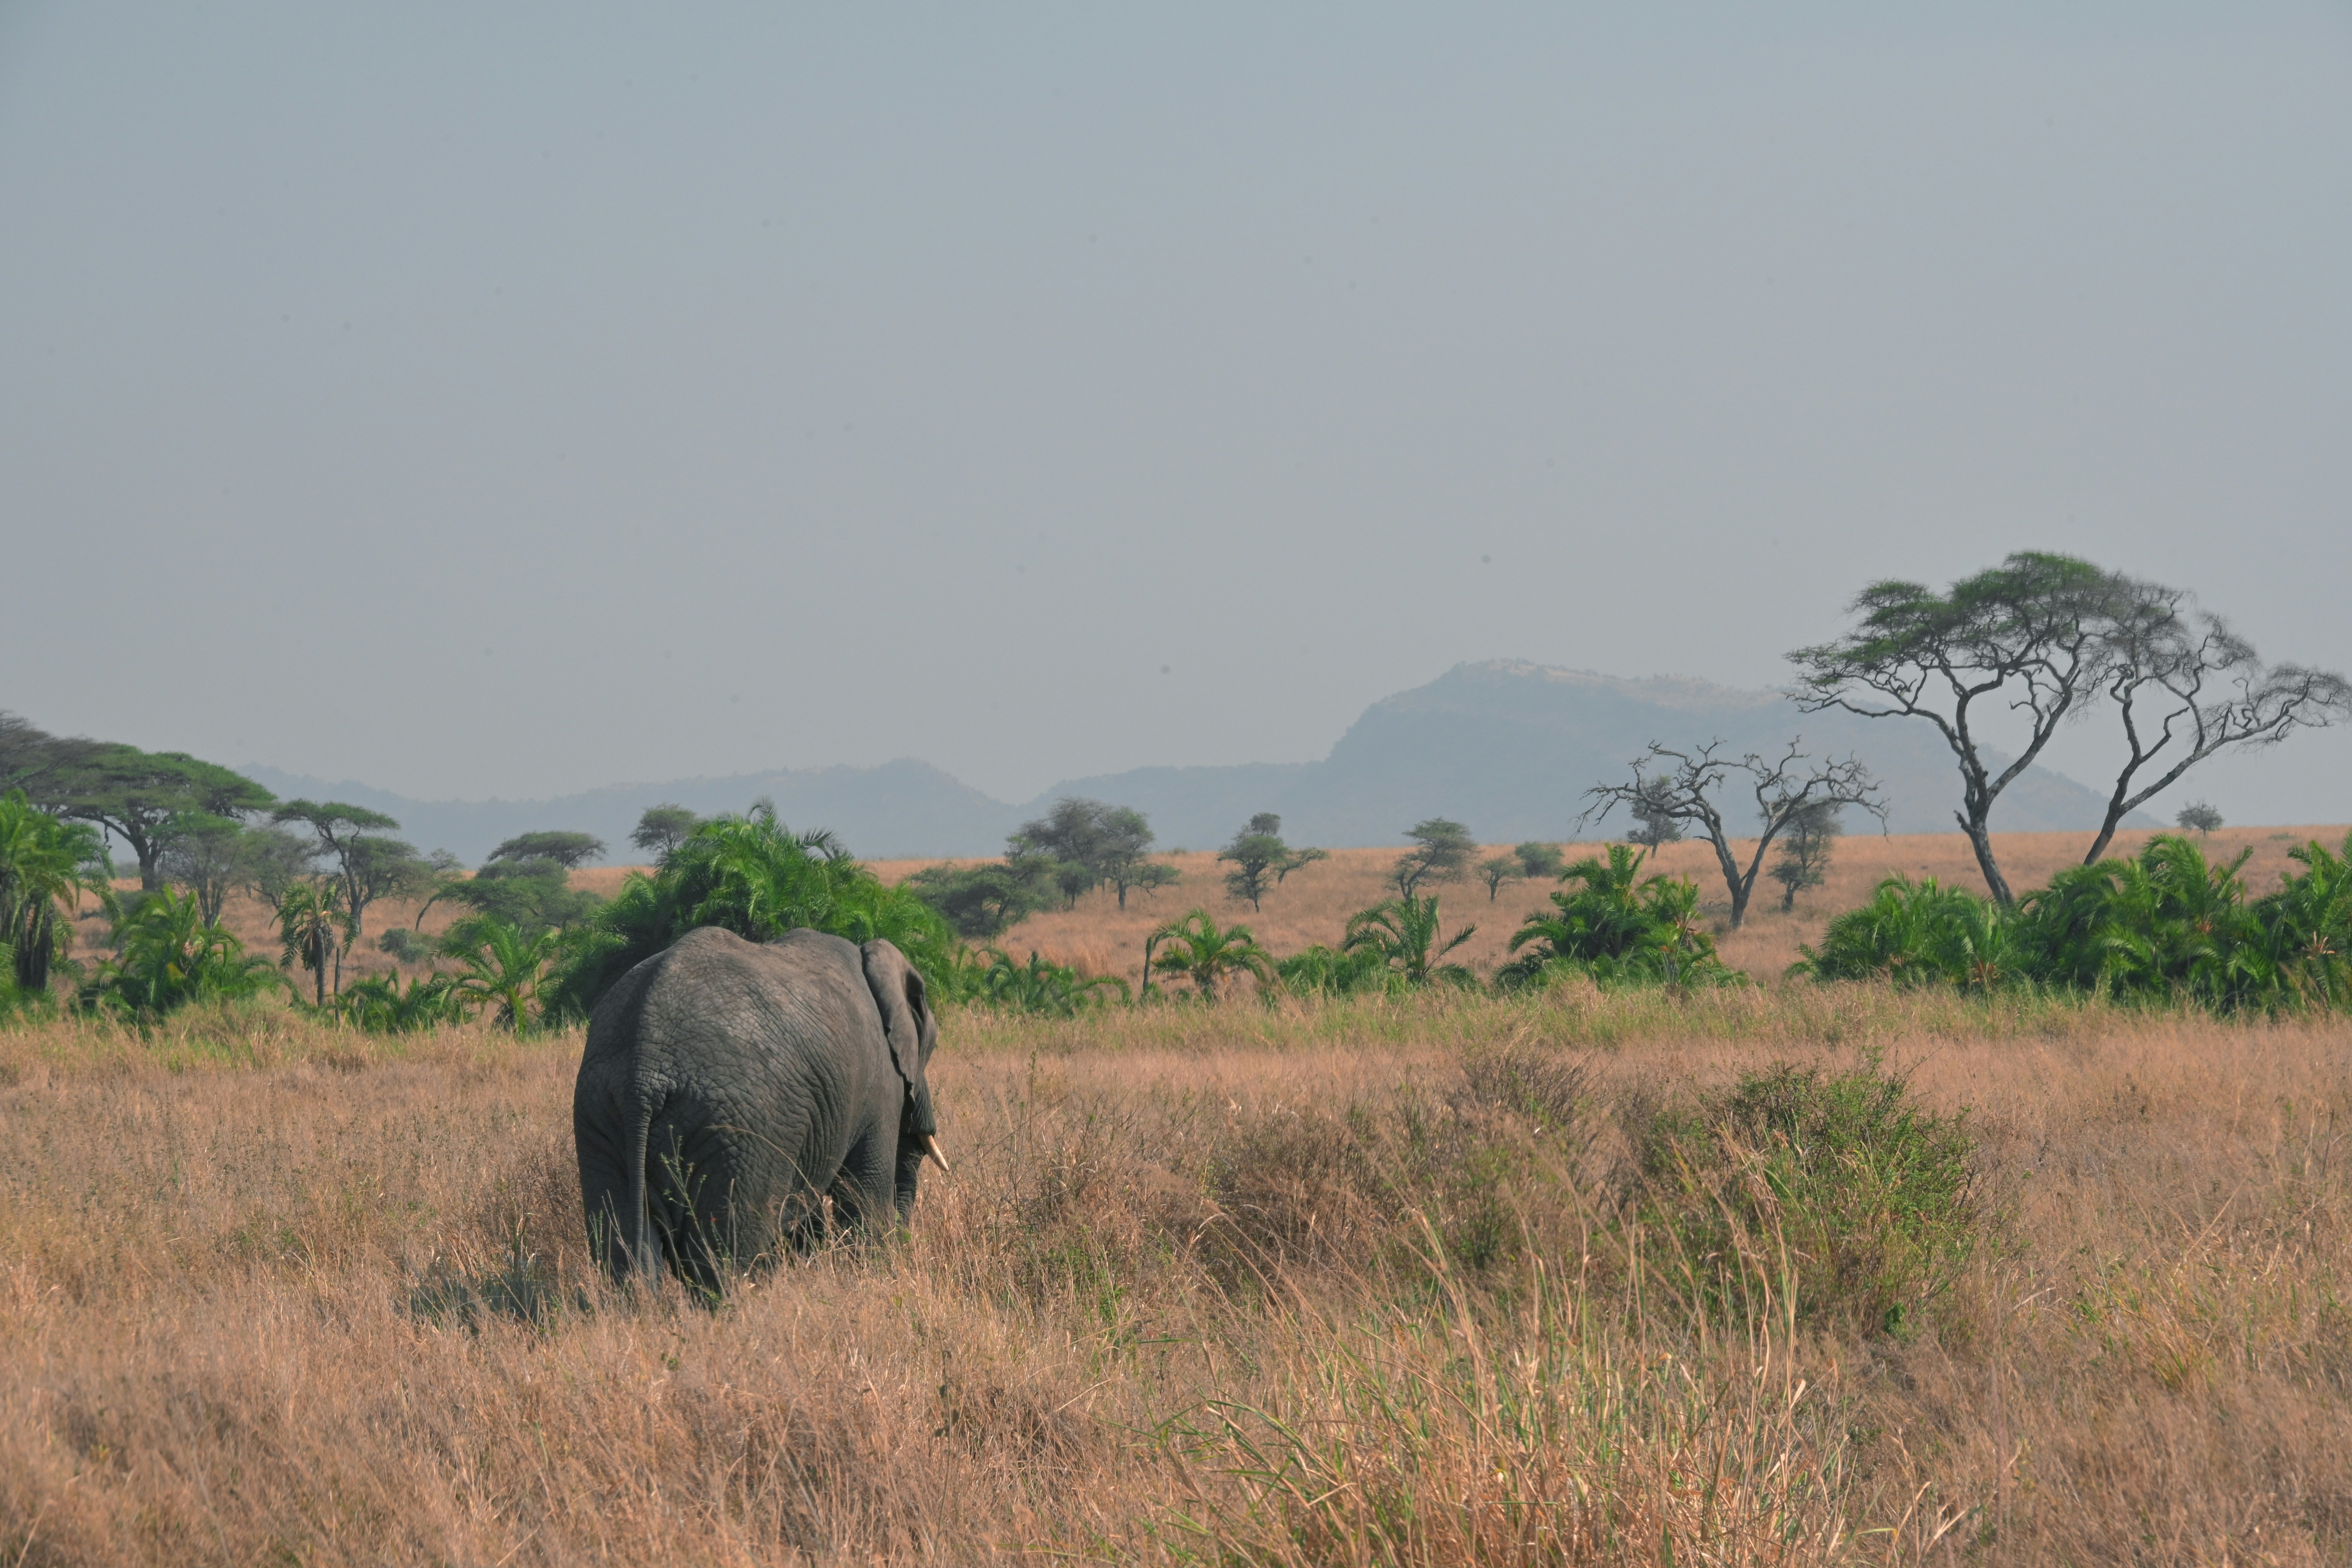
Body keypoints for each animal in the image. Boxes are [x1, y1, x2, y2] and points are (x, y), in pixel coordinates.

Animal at [572, 925, 947, 1291]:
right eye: (931, 1046)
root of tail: (644, 1070)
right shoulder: (879, 1083)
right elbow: (864, 1194)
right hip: (738, 1130)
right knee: (724, 1262)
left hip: (600, 1117)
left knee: (625, 1253)